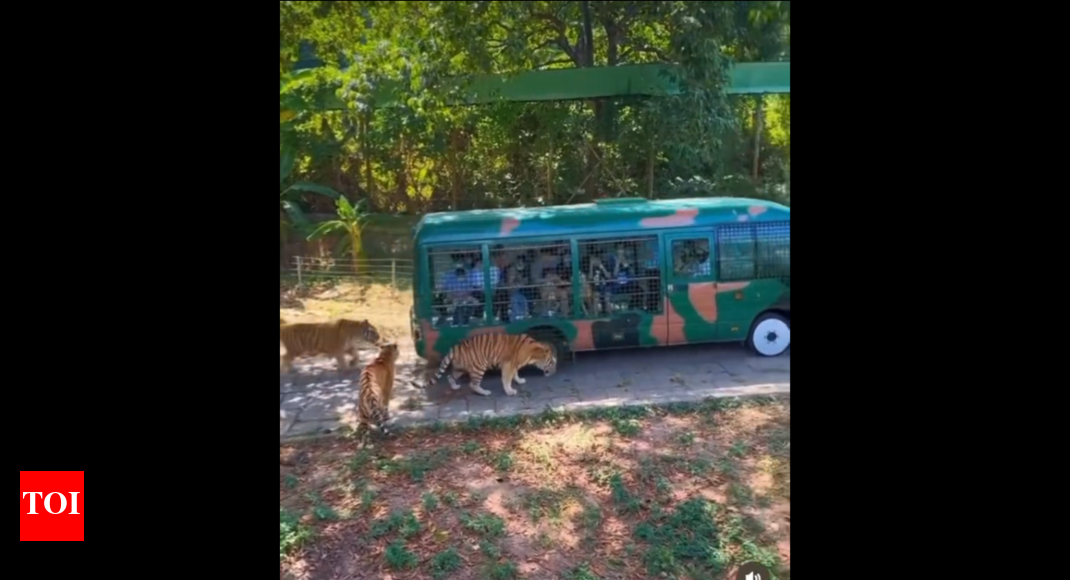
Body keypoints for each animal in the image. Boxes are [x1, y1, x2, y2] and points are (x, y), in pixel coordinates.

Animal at [421, 333, 557, 396]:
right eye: (552, 362)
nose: (554, 372)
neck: (534, 354)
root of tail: (456, 347)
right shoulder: (508, 365)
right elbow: (506, 379)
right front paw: (510, 391)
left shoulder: (513, 365)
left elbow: (515, 374)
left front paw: (519, 381)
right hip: (479, 367)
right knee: (473, 384)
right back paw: (485, 392)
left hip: (460, 368)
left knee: (450, 376)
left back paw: (455, 387)